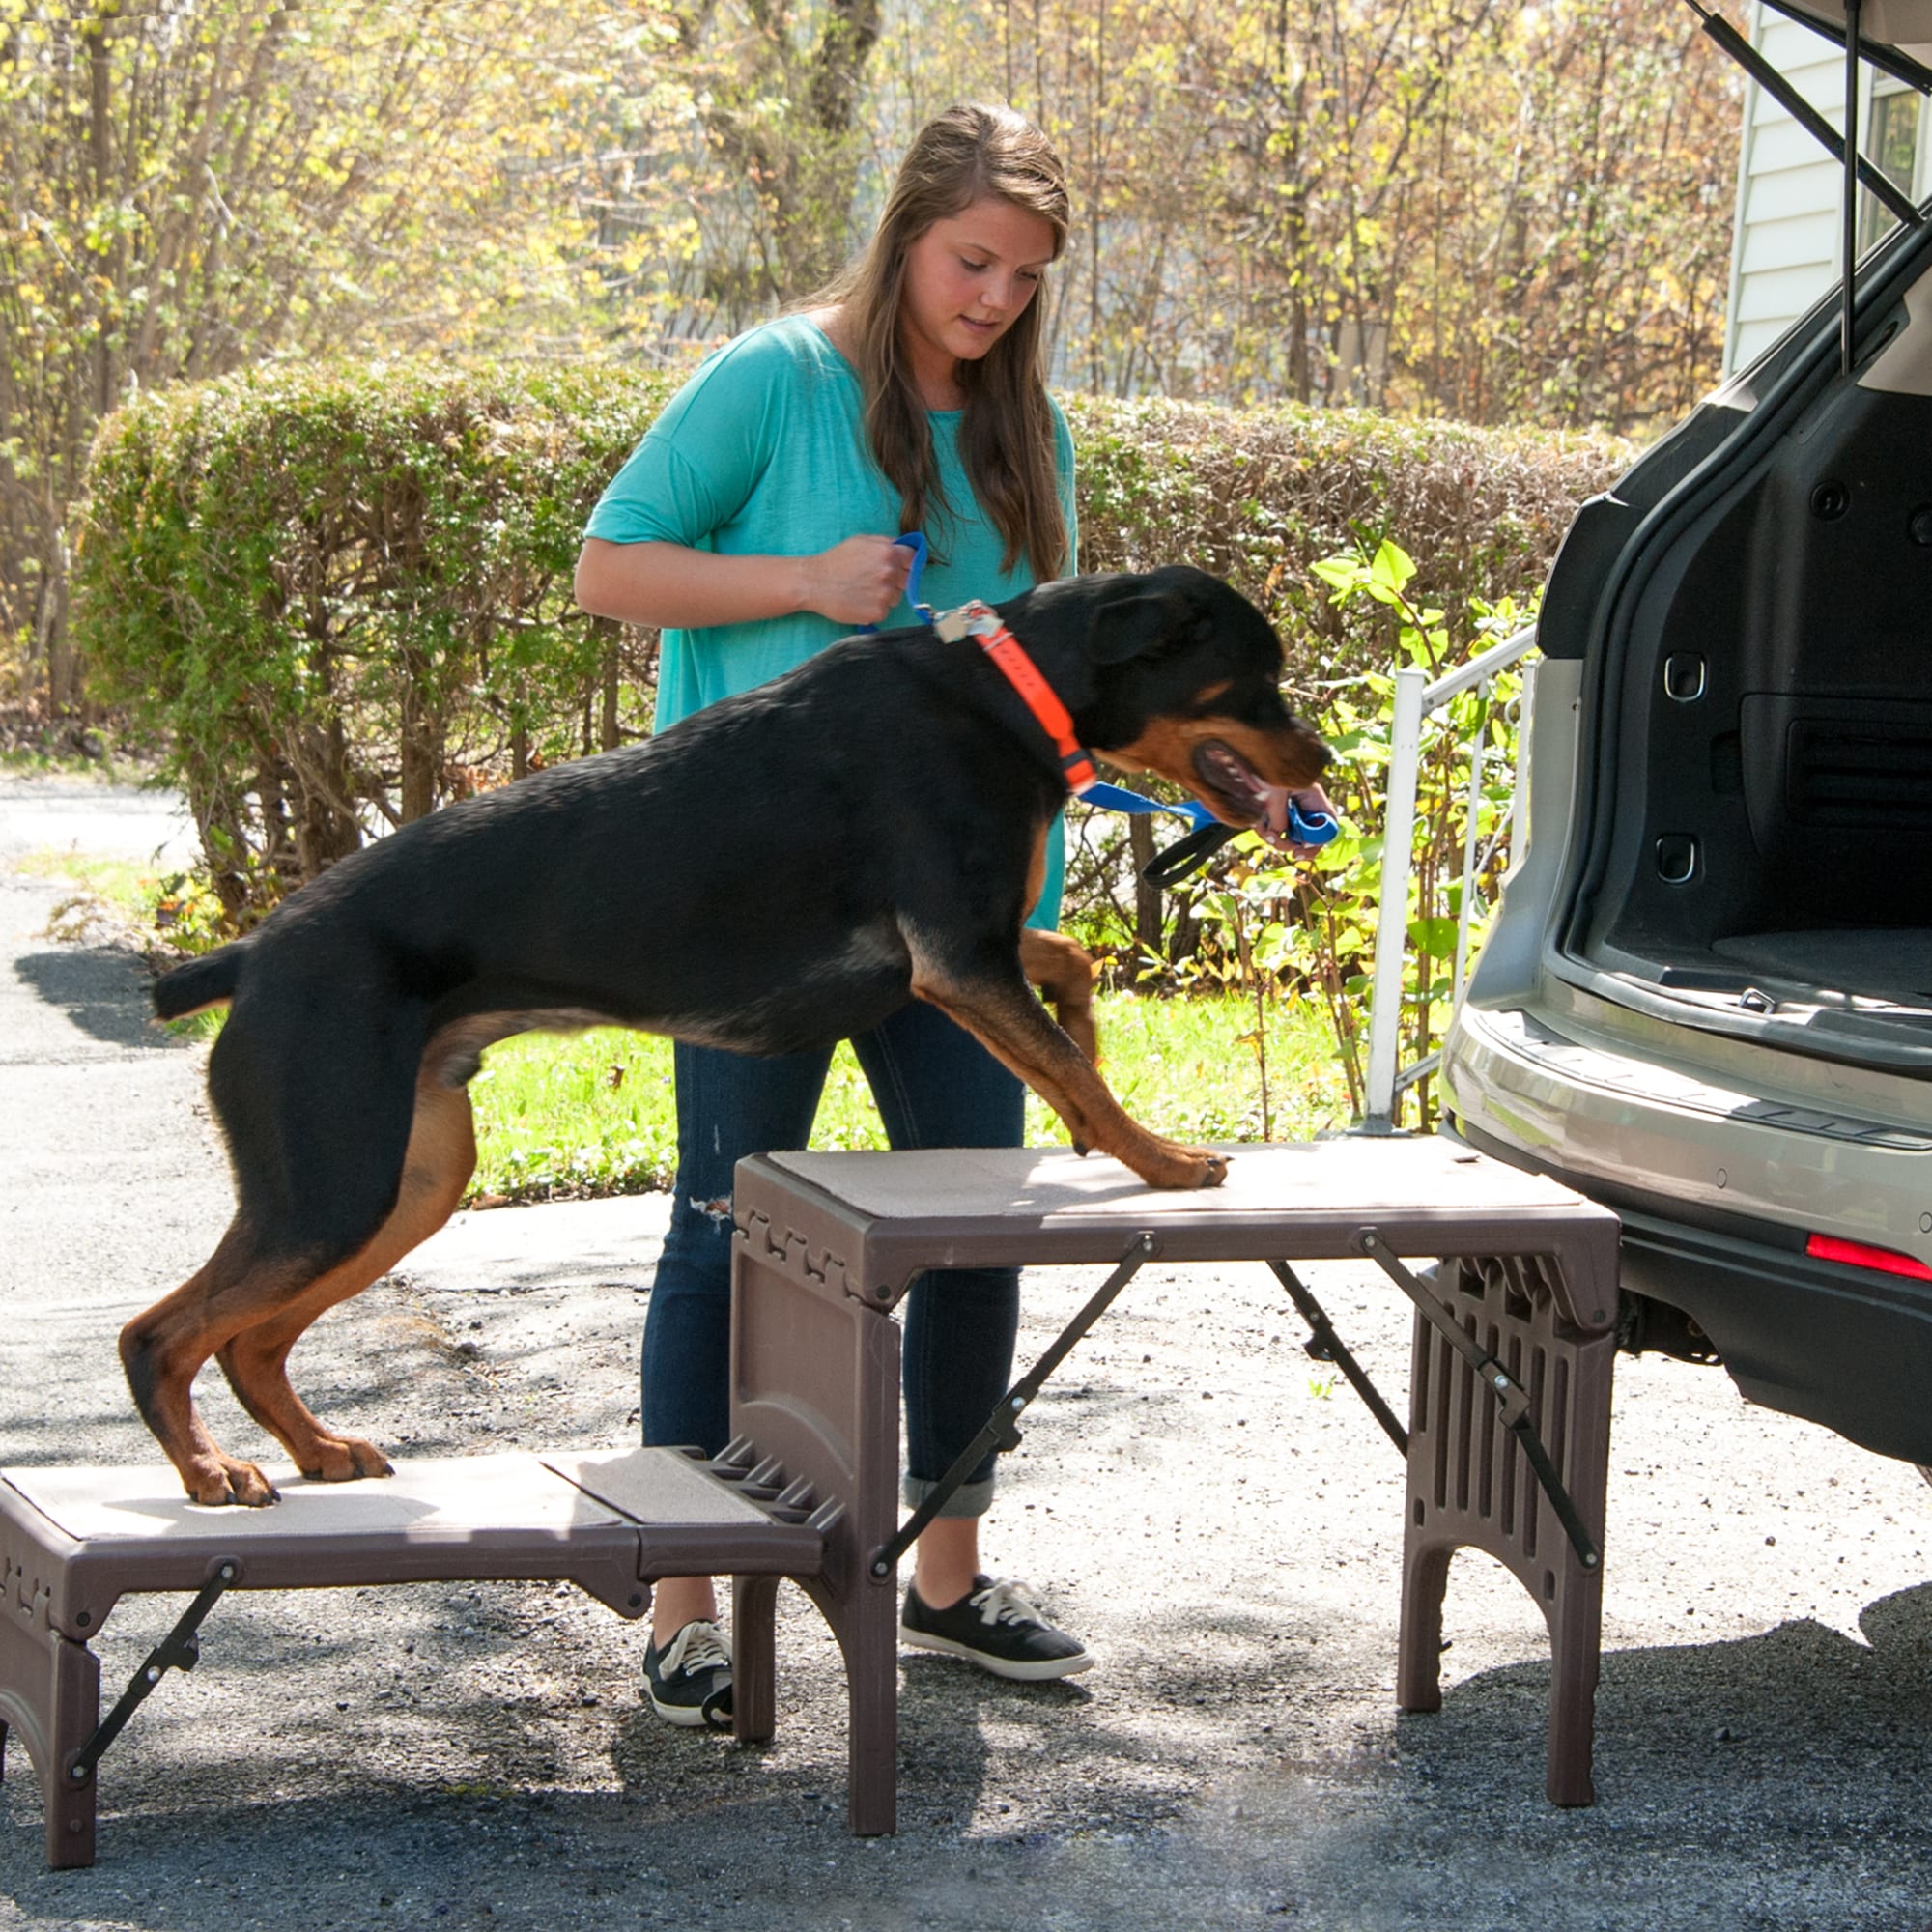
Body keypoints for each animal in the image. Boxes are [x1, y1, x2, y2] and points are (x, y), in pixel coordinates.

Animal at [132, 564, 1329, 1499]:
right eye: (1257, 678)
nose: (1321, 761)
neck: (1001, 693)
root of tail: (251, 955)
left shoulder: (955, 954)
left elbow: (1071, 977)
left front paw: (1091, 1087)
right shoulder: (954, 953)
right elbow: (1076, 1068)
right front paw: (1159, 1157)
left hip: (408, 1180)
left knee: (250, 1338)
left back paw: (316, 1447)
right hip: (332, 1184)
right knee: (161, 1334)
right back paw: (211, 1470)